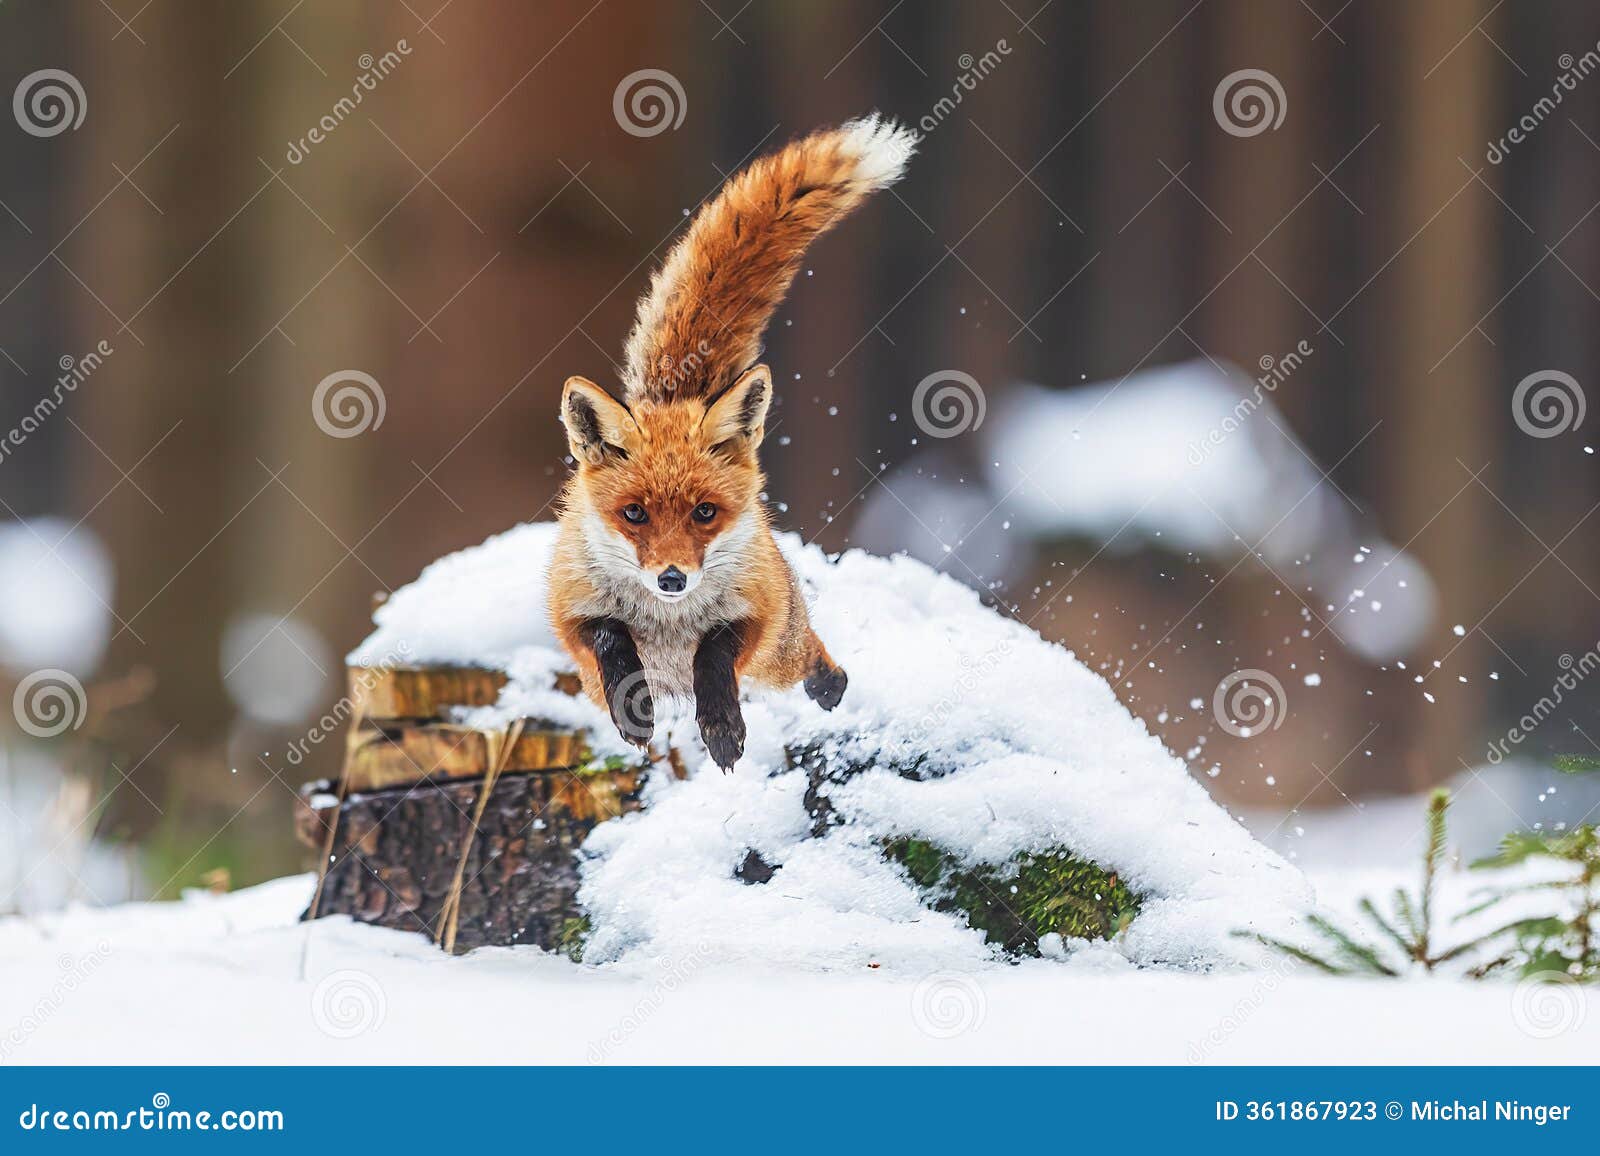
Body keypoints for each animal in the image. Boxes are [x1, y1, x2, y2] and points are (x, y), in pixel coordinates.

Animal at [548, 115, 917, 771]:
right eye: (634, 514)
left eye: (705, 513)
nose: (672, 579)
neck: (668, 623)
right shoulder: (573, 612)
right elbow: (610, 637)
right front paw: (634, 707)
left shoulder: (757, 613)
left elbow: (715, 651)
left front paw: (721, 725)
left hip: (779, 652)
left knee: (809, 655)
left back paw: (830, 682)